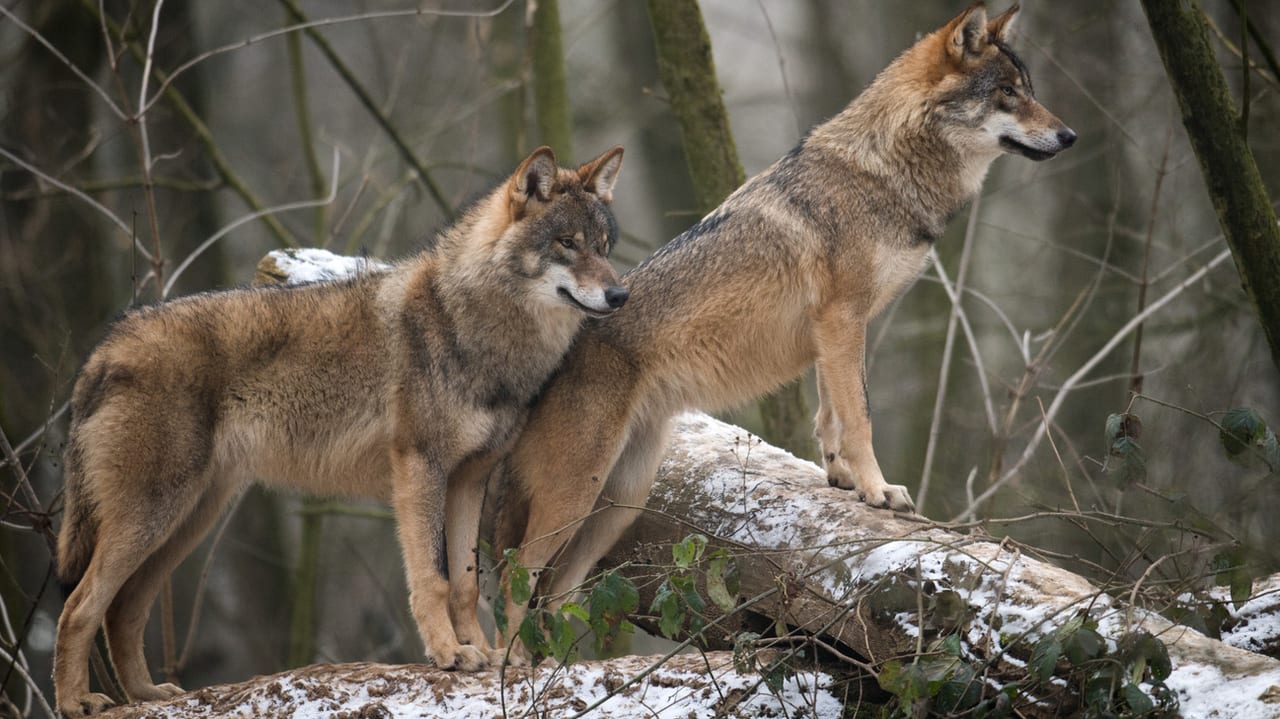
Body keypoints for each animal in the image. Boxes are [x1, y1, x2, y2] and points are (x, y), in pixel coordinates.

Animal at [52, 145, 625, 715]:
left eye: (603, 246)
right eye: (567, 243)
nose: (619, 294)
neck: (478, 328)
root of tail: (105, 347)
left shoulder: (469, 478)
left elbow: (464, 585)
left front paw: (481, 651)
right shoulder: (419, 467)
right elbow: (432, 578)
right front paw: (449, 654)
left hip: (188, 520)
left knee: (122, 609)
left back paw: (146, 694)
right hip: (153, 516)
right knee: (80, 606)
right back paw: (76, 701)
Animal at [483, 3, 1075, 656]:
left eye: (1029, 89)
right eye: (1007, 93)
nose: (1070, 136)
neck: (882, 172)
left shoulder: (836, 329)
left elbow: (830, 412)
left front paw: (841, 478)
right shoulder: (843, 317)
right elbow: (860, 414)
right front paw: (878, 491)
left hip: (618, 503)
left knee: (554, 595)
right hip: (575, 497)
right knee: (514, 582)